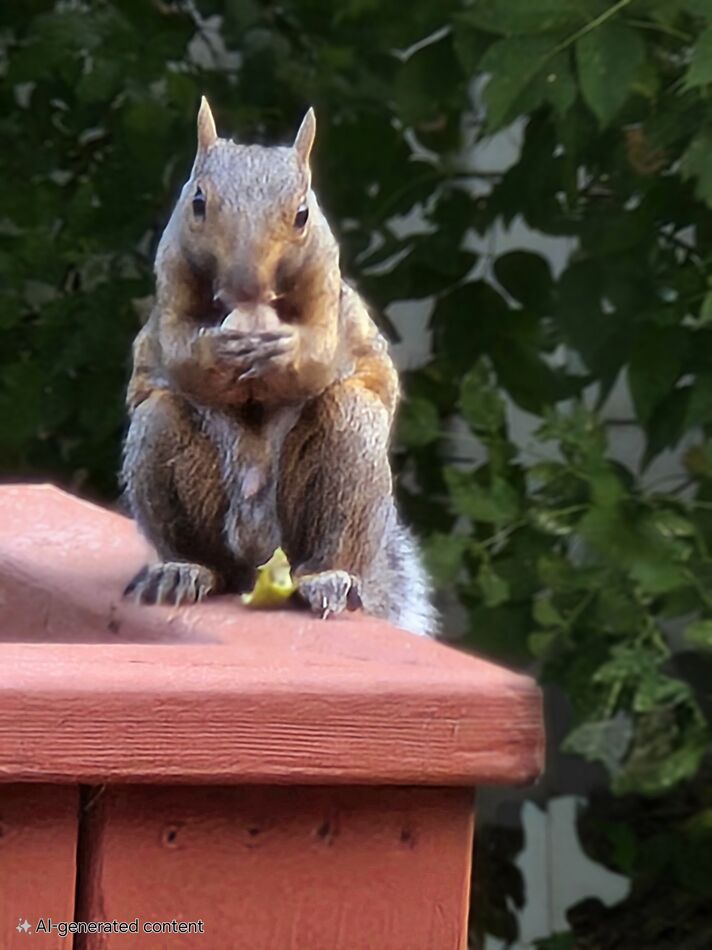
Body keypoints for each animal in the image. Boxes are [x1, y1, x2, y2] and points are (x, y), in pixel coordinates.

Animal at [121, 97, 437, 637]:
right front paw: (218, 349)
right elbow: (180, 350)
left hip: (344, 460)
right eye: (198, 202)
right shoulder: (171, 275)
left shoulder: (325, 282)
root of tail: (259, 551)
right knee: (212, 560)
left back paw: (326, 578)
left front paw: (281, 350)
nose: (246, 284)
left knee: (329, 544)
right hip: (162, 446)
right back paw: (183, 570)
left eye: (302, 214)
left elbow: (318, 352)